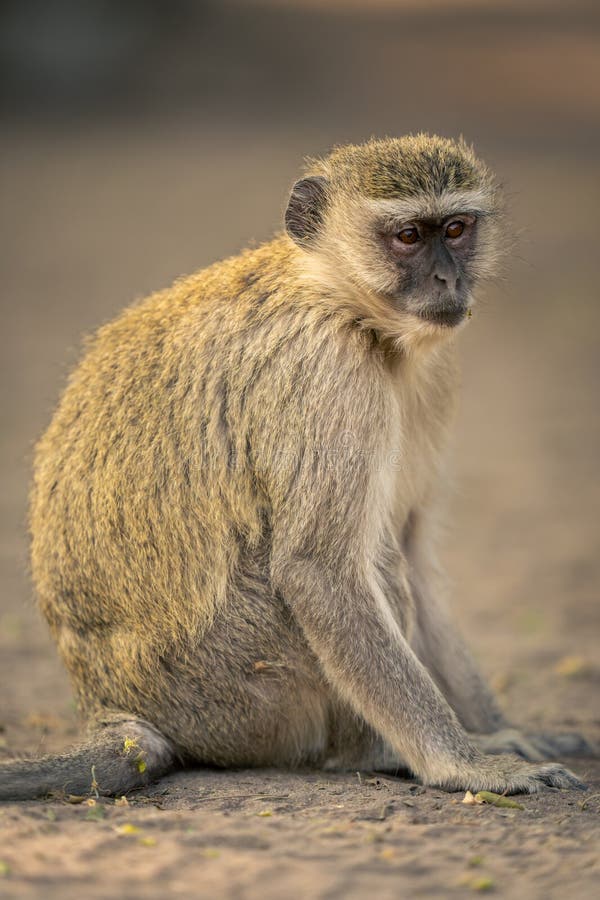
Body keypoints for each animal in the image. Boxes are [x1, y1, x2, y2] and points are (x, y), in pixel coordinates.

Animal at [0, 134, 595, 802]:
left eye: (456, 229)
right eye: (408, 236)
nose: (449, 277)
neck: (341, 301)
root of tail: (108, 703)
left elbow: (415, 550)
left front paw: (503, 732)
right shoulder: (331, 373)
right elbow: (318, 571)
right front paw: (470, 765)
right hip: (236, 686)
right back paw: (373, 753)